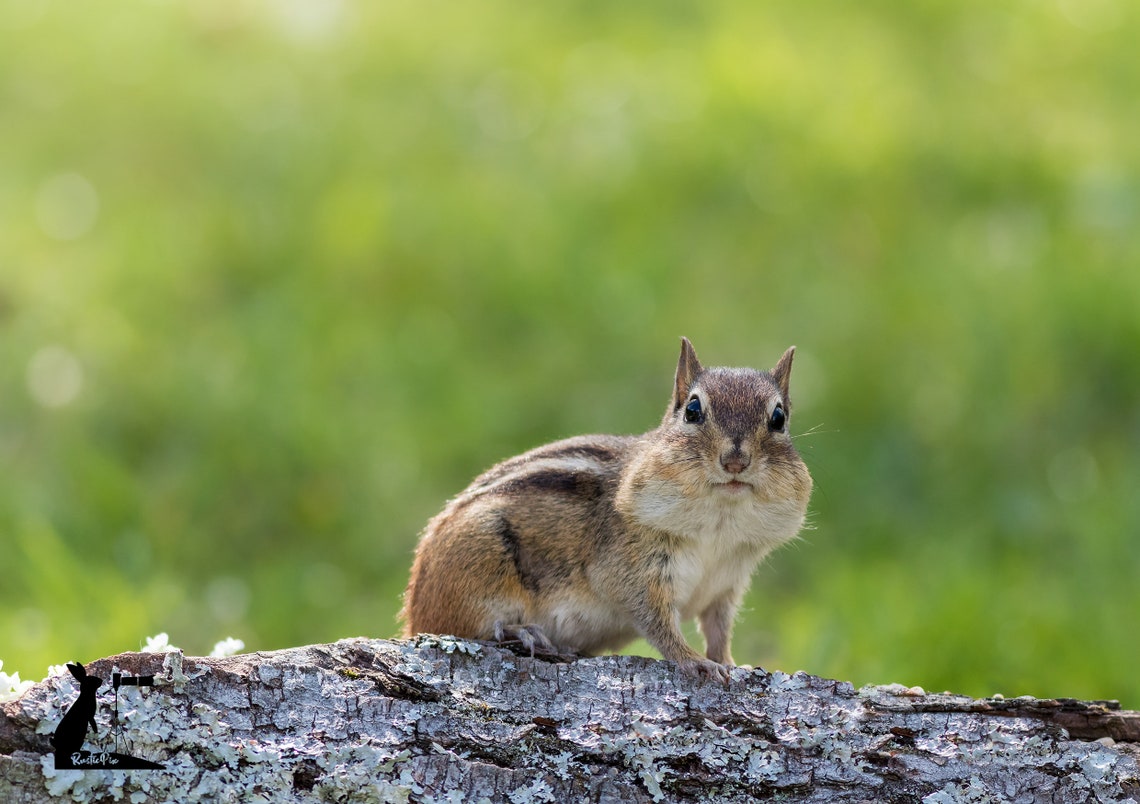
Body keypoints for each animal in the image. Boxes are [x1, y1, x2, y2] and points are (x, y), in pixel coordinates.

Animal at [400, 338, 813, 682]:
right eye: (693, 410)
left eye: (778, 418)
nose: (735, 461)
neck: (719, 529)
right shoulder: (631, 569)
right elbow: (657, 622)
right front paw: (694, 661)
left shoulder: (727, 582)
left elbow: (719, 628)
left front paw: (729, 661)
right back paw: (520, 629)